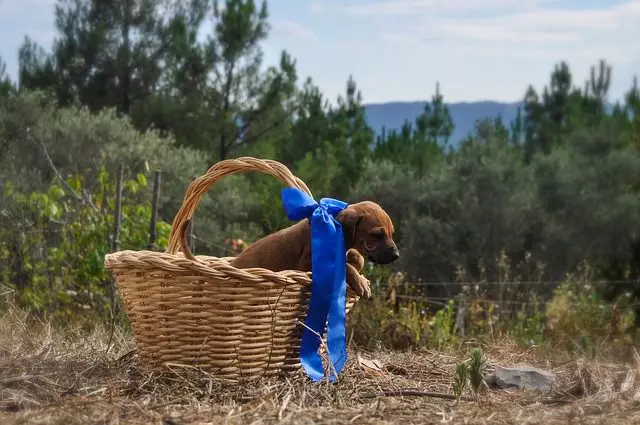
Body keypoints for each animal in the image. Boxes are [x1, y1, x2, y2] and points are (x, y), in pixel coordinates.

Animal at [230, 200, 400, 296]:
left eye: (391, 233)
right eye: (377, 235)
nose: (396, 255)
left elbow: (356, 258)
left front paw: (355, 264)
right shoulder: (307, 264)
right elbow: (345, 266)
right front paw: (360, 281)